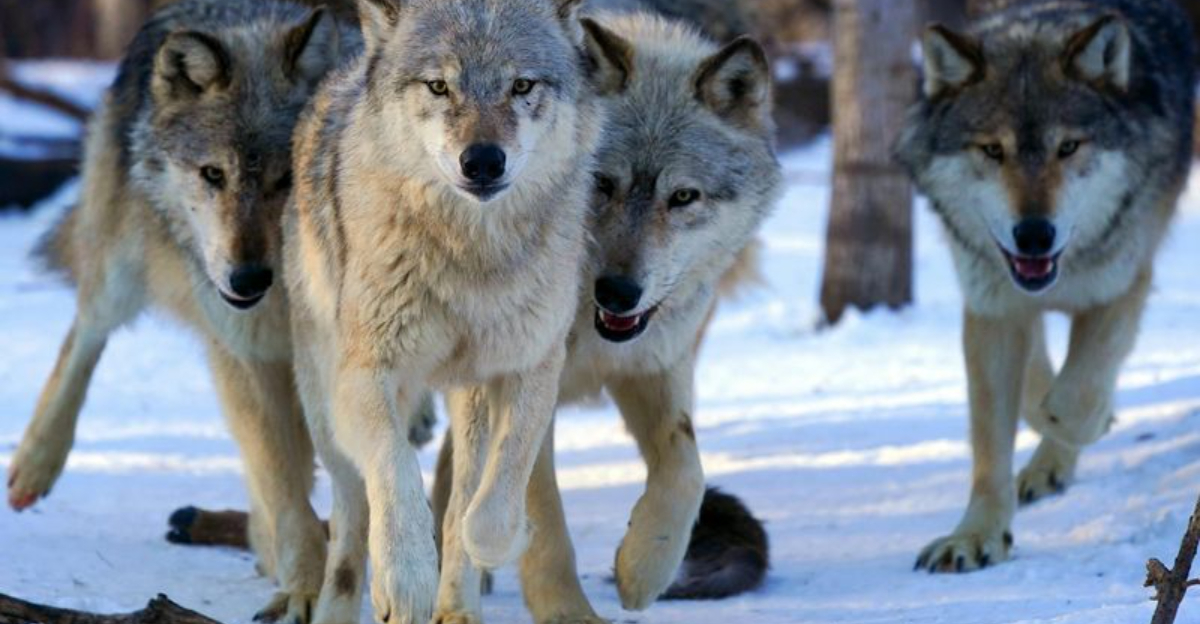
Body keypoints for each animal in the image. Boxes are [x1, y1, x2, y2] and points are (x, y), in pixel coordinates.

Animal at [5, 0, 350, 619]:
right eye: (213, 174)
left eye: (285, 178)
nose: (248, 278)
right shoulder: (243, 350)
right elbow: (284, 485)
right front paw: (304, 589)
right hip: (120, 265)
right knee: (84, 331)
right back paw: (35, 464)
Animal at [282, 0, 631, 622]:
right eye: (439, 86)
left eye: (521, 86)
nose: (484, 161)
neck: (471, 257)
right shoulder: (368, 374)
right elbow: (395, 469)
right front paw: (403, 579)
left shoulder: (529, 365)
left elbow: (490, 499)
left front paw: (497, 545)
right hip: (325, 401)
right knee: (351, 512)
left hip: (467, 394)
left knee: (460, 490)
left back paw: (459, 604)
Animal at [430, 11, 781, 622]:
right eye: (601, 183)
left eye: (683, 197)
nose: (617, 292)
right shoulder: (526, 398)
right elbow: (545, 522)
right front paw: (568, 611)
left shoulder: (654, 366)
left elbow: (686, 469)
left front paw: (643, 568)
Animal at [896, 0, 1195, 573]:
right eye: (993, 150)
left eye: (1068, 147)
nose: (1034, 235)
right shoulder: (993, 305)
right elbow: (999, 432)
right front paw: (976, 535)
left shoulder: (1121, 281)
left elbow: (1072, 401)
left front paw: (1092, 420)